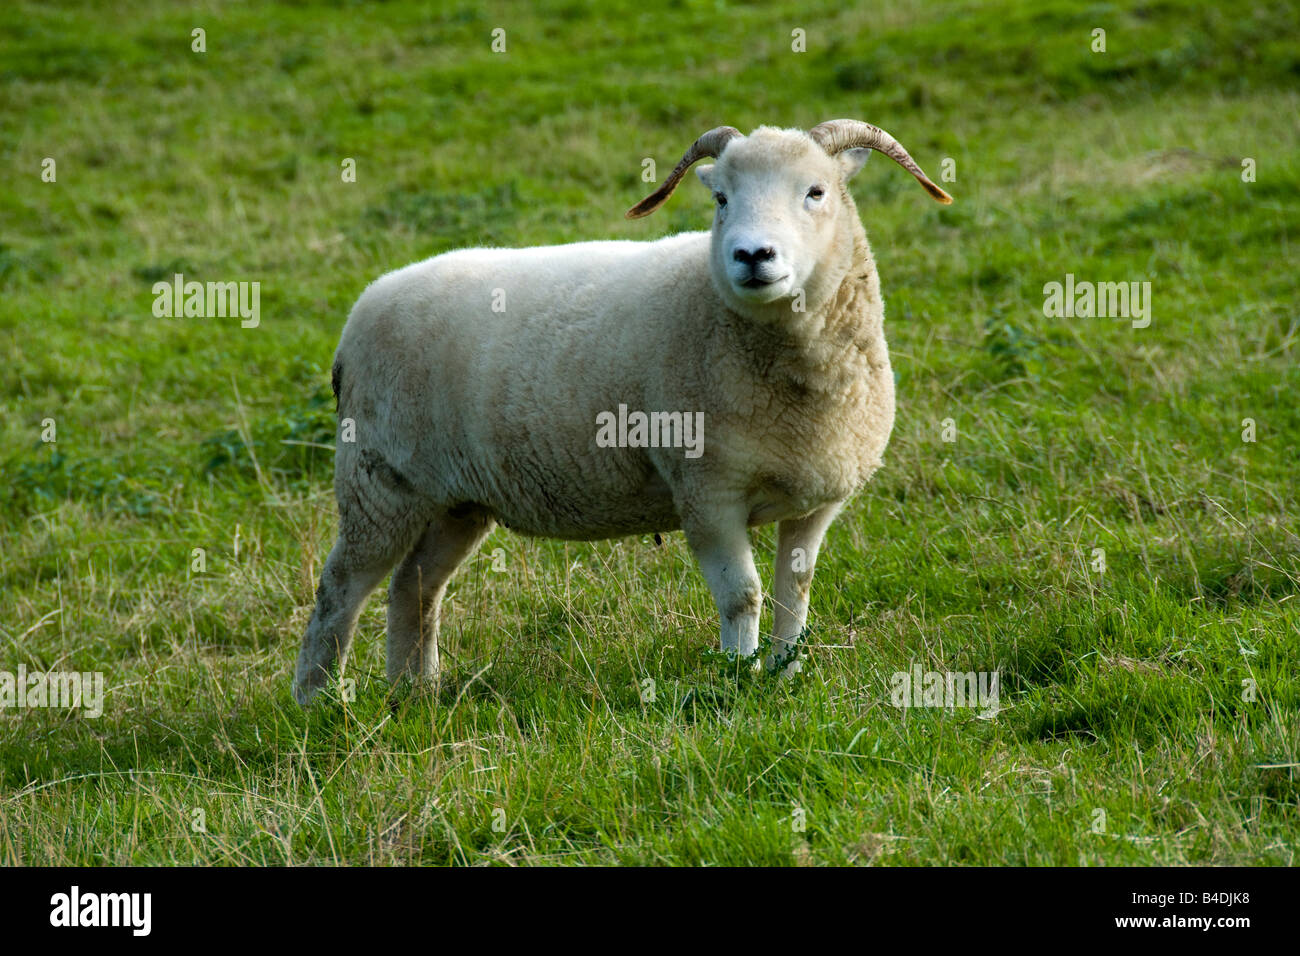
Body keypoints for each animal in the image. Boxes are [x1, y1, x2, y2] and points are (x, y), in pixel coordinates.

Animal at [292, 119, 952, 706]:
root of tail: (357, 320)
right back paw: (319, 702)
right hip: (379, 483)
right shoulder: (706, 492)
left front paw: (786, 676)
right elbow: (743, 597)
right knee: (339, 589)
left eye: (816, 192)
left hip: (456, 500)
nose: (752, 255)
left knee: (415, 585)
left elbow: (797, 593)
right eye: (720, 198)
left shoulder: (815, 500)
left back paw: (415, 692)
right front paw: (738, 682)